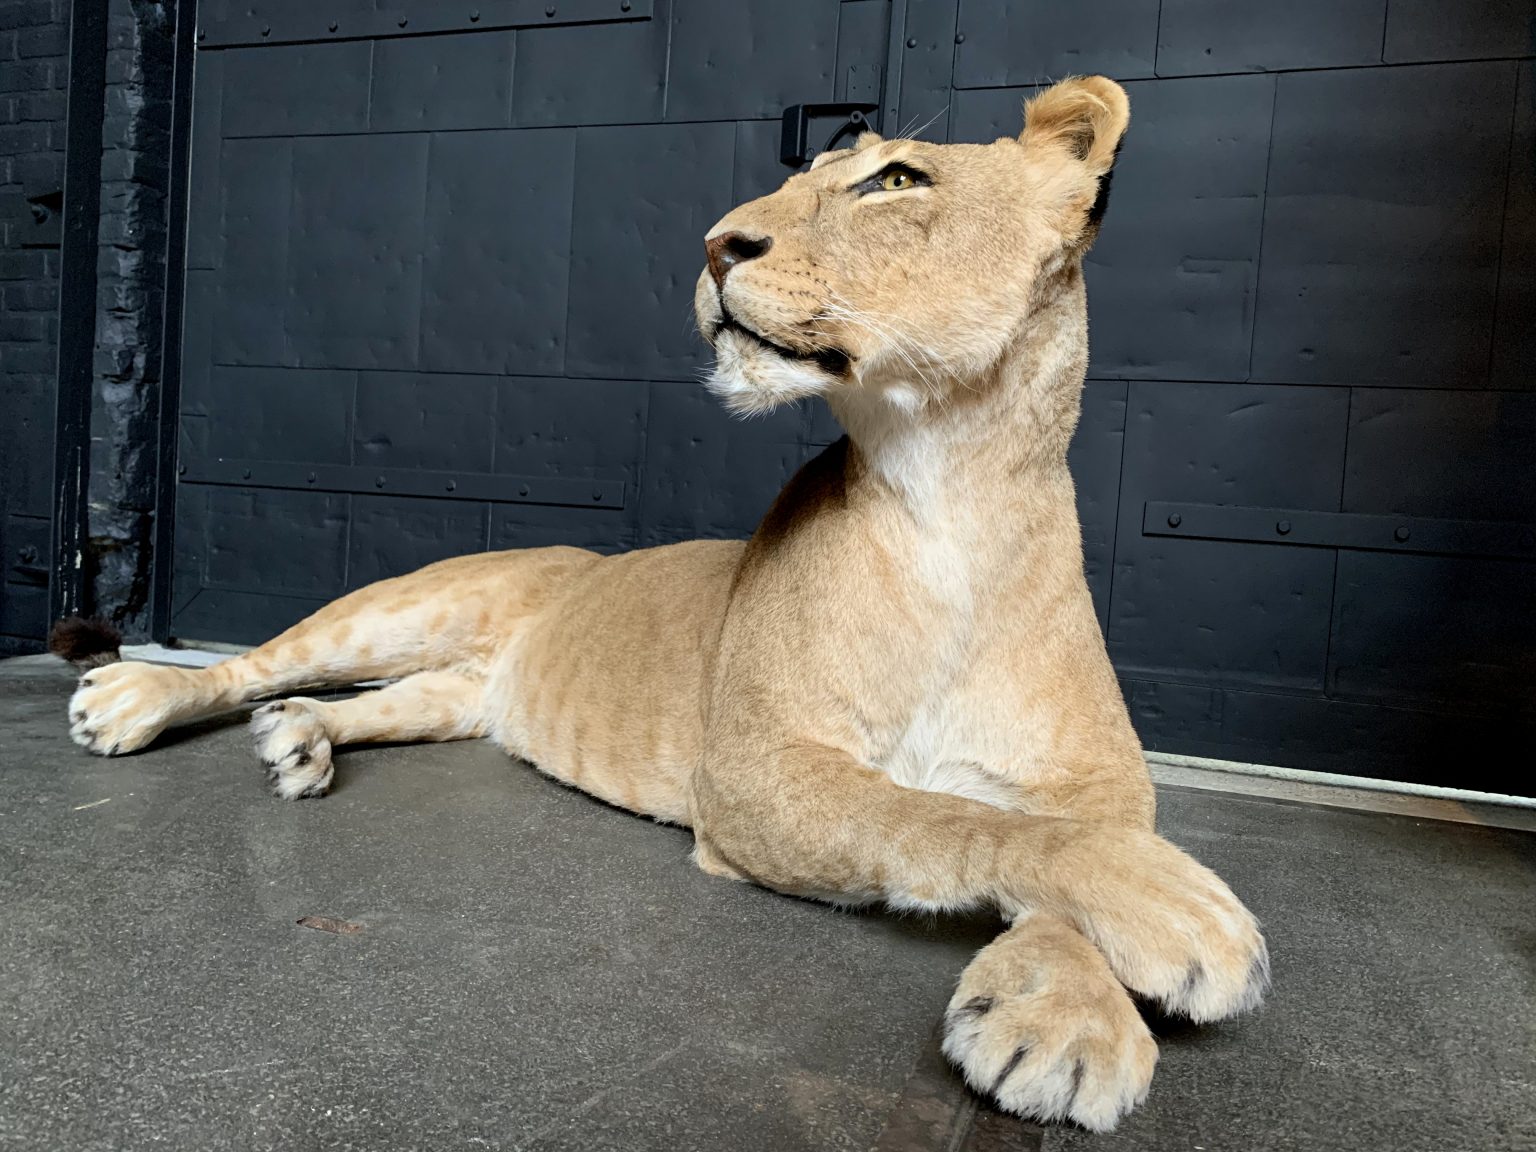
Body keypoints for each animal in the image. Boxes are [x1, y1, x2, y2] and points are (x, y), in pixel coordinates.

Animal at [63, 76, 1267, 1131]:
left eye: (894, 180)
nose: (716, 246)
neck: (950, 493)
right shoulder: (749, 773)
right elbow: (955, 820)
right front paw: (1182, 916)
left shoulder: (1097, 778)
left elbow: (1039, 830)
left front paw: (1066, 1017)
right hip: (402, 606)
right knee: (256, 661)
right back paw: (129, 700)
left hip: (458, 695)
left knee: (373, 704)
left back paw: (302, 740)